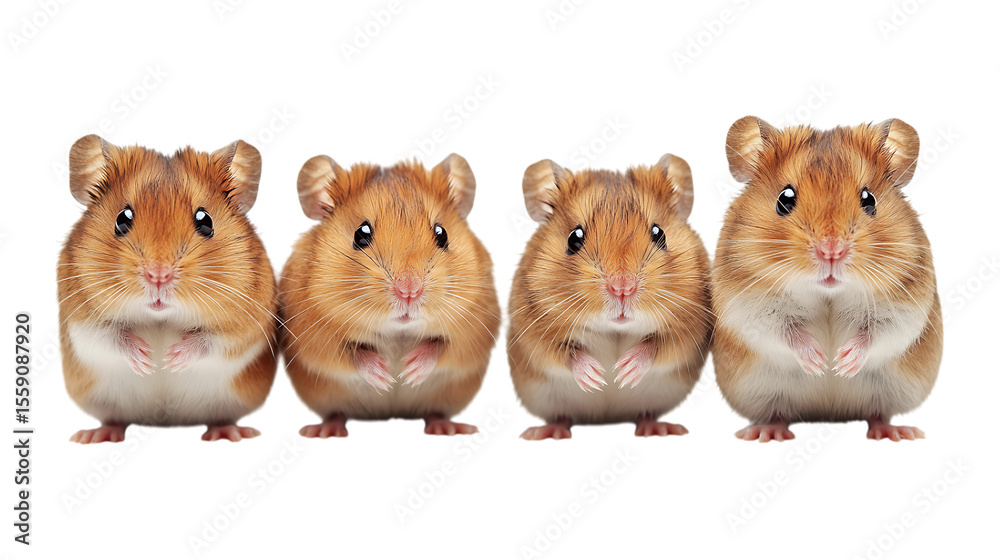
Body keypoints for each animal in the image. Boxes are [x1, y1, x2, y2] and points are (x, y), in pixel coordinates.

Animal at [59, 135, 278, 443]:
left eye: (206, 221)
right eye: (122, 219)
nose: (158, 275)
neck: (160, 318)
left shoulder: (246, 326)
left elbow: (212, 342)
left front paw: (170, 359)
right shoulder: (81, 321)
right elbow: (109, 337)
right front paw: (148, 360)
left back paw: (229, 433)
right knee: (114, 419)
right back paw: (95, 436)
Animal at [279, 154, 500, 437]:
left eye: (442, 234)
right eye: (360, 234)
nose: (409, 291)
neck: (398, 331)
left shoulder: (472, 332)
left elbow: (443, 346)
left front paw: (408, 370)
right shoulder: (315, 337)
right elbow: (350, 353)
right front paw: (385, 376)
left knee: (435, 412)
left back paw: (447, 427)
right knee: (337, 413)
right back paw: (324, 431)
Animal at [508, 154, 713, 439]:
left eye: (659, 234)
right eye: (573, 239)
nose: (622, 287)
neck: (614, 329)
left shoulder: (688, 331)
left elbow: (658, 345)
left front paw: (623, 372)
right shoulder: (535, 335)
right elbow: (564, 353)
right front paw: (597, 377)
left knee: (644, 413)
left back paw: (658, 428)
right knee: (562, 416)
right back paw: (545, 432)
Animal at [713, 116, 942, 442]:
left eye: (869, 199)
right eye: (784, 199)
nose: (831, 251)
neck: (828, 293)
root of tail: (829, 414)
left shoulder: (906, 306)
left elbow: (877, 332)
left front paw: (842, 363)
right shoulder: (747, 306)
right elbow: (785, 330)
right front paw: (820, 363)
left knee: (878, 413)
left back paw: (897, 433)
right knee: (779, 412)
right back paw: (766, 432)